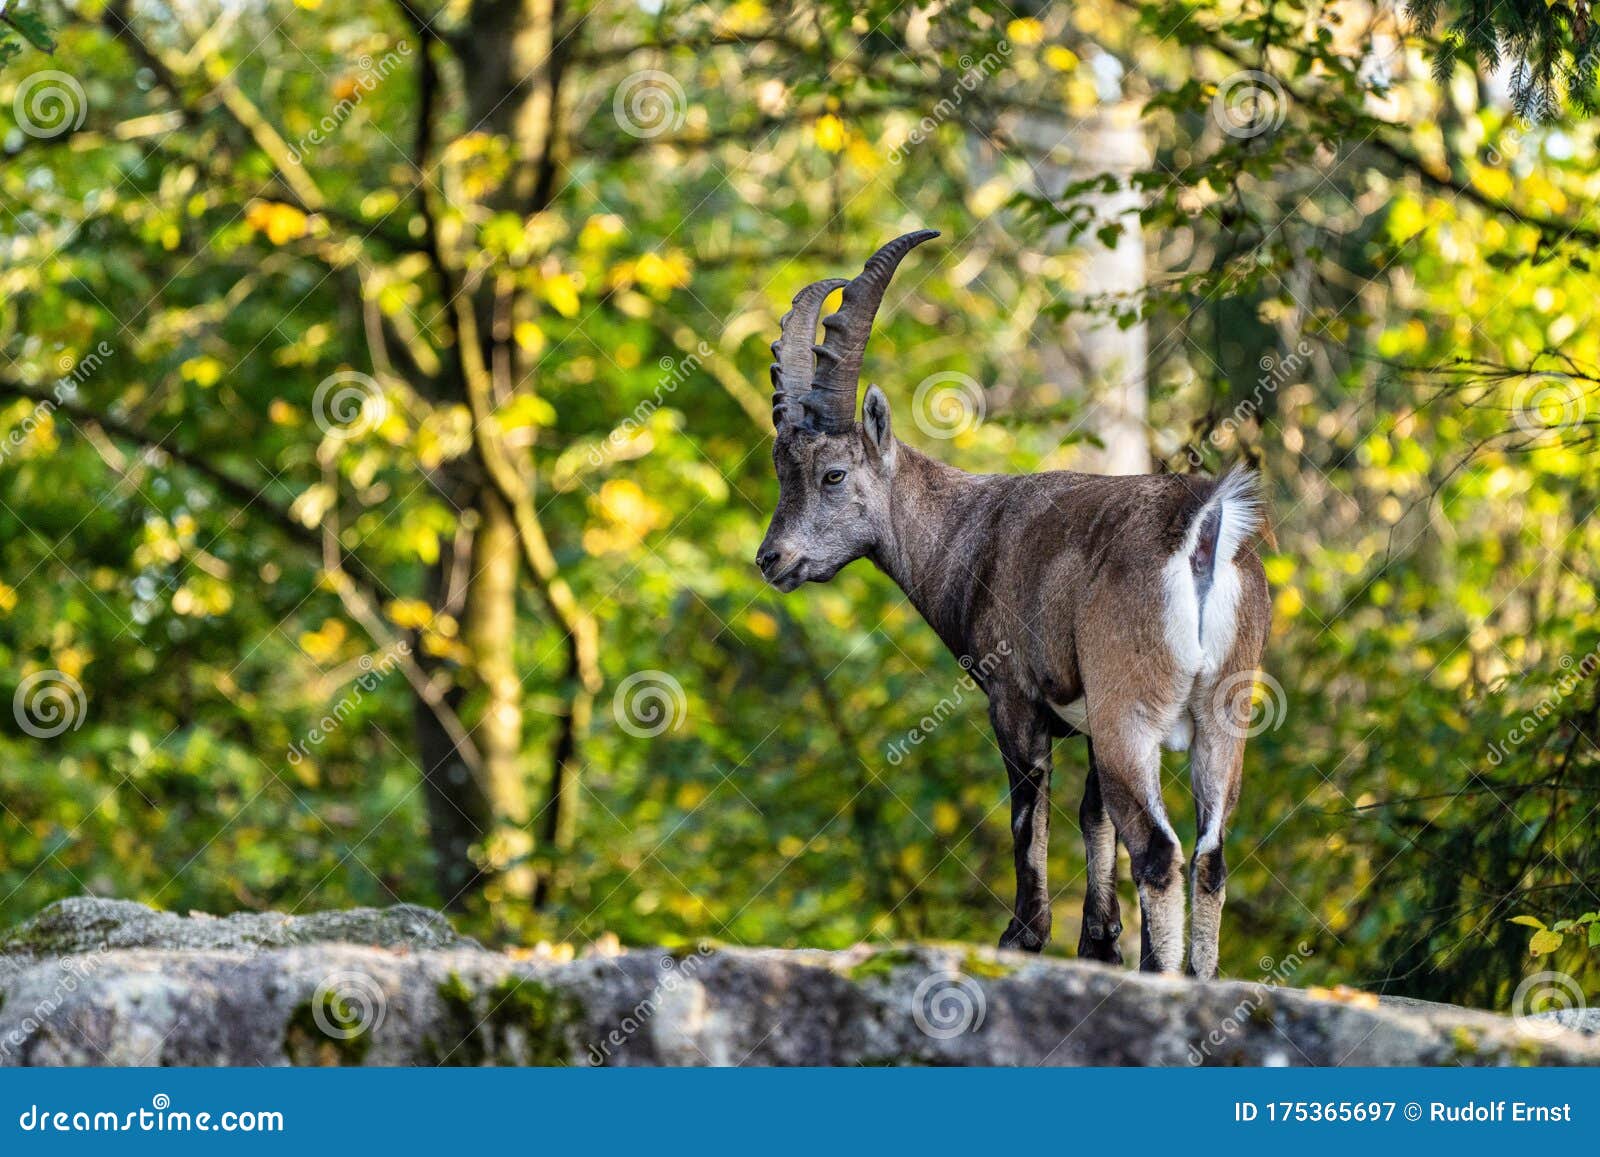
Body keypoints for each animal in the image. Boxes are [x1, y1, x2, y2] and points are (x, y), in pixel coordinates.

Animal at [755, 230, 1271, 977]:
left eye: (832, 474)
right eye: (780, 472)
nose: (772, 559)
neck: (969, 529)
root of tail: (1202, 530)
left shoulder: (1016, 701)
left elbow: (1030, 811)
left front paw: (1023, 936)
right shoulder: (1088, 720)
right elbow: (1094, 819)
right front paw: (1099, 945)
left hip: (1132, 708)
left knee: (1160, 851)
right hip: (1222, 713)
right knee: (1208, 856)